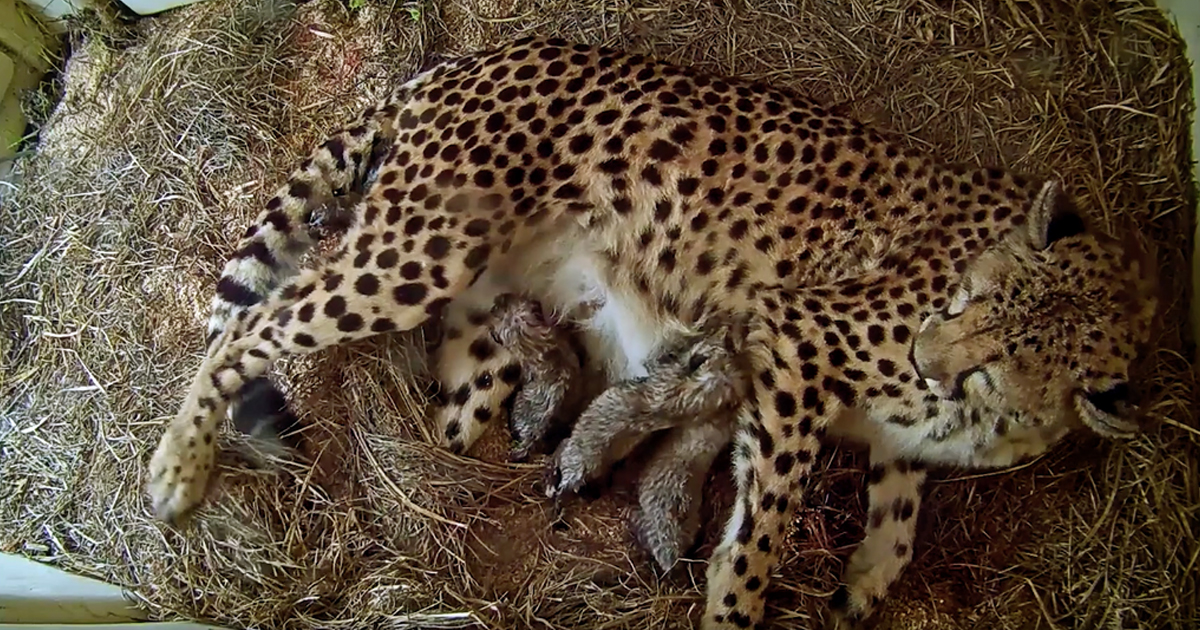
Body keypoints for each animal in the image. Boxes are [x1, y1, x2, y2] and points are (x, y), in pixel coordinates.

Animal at [144, 37, 1159, 630]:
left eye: (991, 366)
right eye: (964, 300)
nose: (925, 358)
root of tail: (481, 53)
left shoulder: (880, 418)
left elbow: (903, 511)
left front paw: (867, 578)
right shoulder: (793, 342)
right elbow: (764, 532)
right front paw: (732, 607)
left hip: (481, 315)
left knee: (457, 402)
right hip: (417, 252)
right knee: (252, 325)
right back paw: (178, 470)